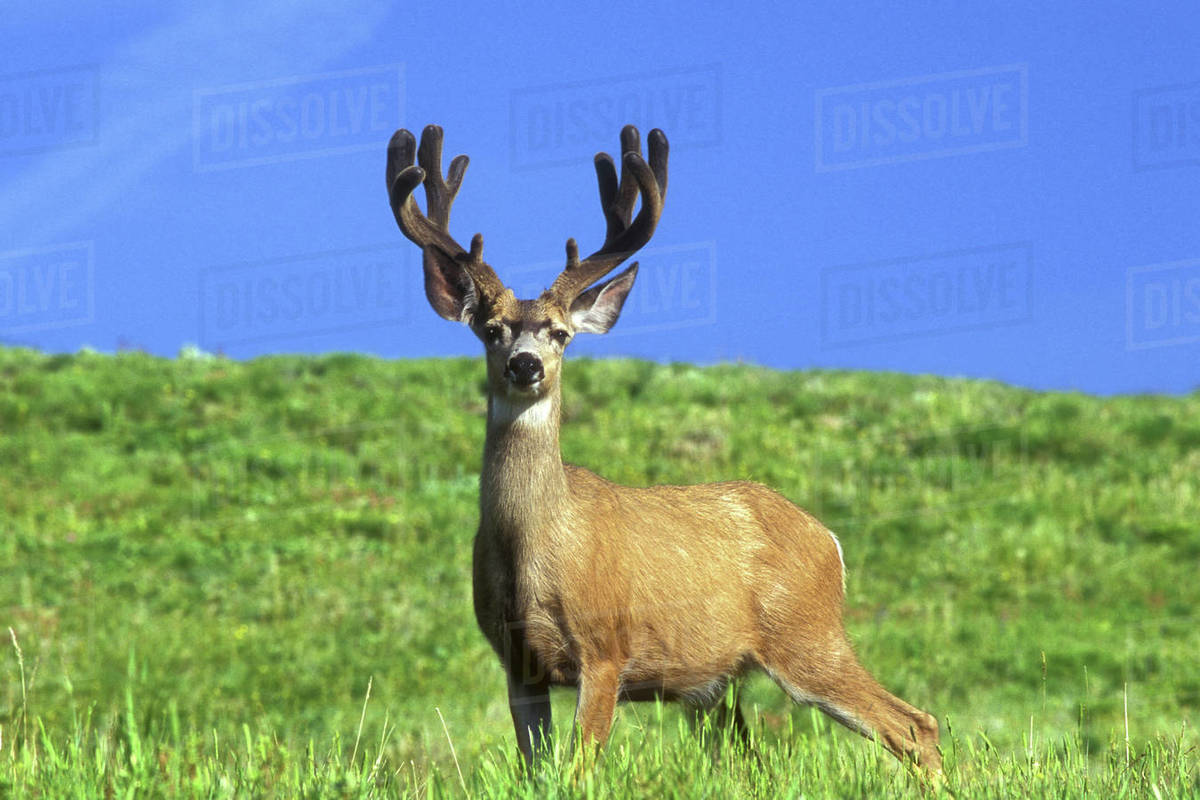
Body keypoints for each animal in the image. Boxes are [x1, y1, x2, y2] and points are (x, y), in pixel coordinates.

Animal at [385, 124, 942, 774]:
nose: (525, 365)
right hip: (718, 684)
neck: (536, 548)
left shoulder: (606, 649)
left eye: (560, 334)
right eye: (490, 330)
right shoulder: (516, 661)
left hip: (807, 636)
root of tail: (828, 539)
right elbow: (536, 768)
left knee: (915, 724)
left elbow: (580, 768)